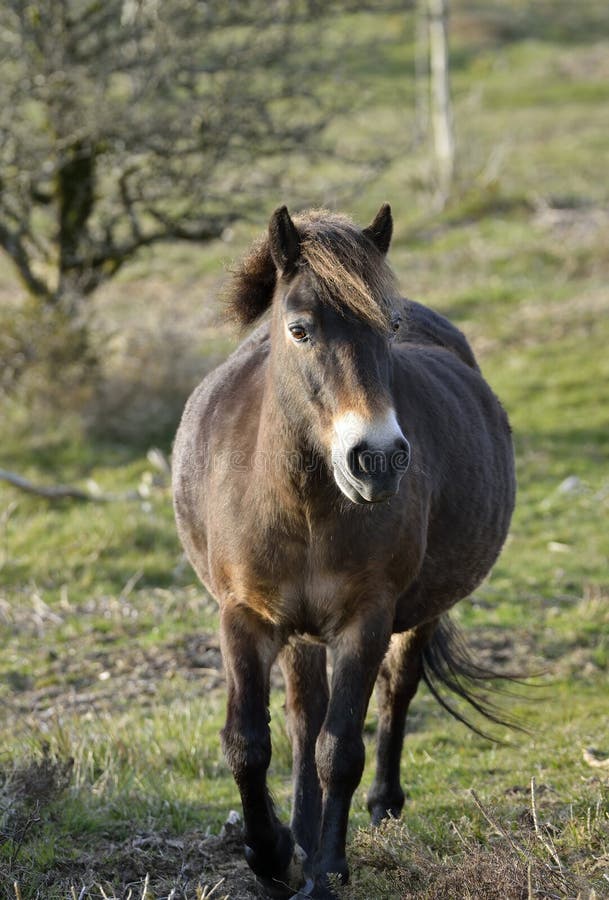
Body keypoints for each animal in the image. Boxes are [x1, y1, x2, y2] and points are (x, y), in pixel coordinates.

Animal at [172, 204, 516, 899]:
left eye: (389, 328)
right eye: (300, 329)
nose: (376, 459)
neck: (303, 503)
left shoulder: (367, 618)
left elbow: (342, 749)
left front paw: (327, 869)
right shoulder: (245, 616)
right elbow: (249, 743)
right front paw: (273, 854)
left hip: (416, 614)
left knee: (395, 694)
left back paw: (382, 806)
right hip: (299, 631)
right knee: (303, 718)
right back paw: (300, 831)